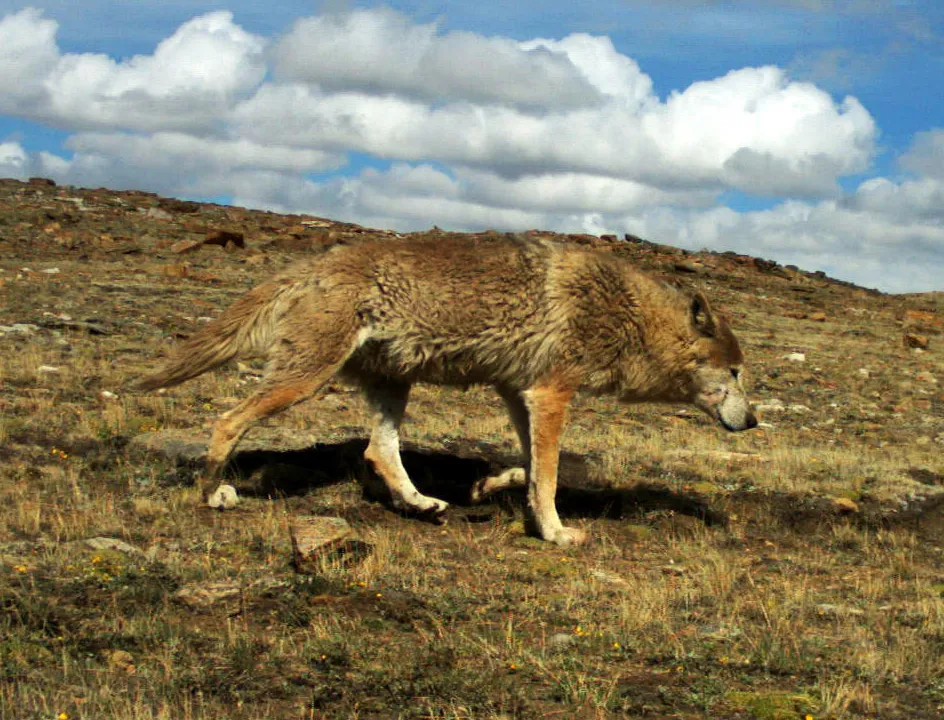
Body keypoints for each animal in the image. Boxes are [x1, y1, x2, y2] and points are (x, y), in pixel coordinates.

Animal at [137, 234, 756, 546]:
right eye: (735, 374)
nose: (752, 422)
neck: (627, 316)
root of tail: (313, 264)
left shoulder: (518, 394)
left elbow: (530, 468)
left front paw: (490, 489)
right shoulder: (550, 395)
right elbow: (551, 477)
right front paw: (555, 533)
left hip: (393, 386)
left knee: (378, 451)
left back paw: (422, 504)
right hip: (303, 381)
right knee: (227, 421)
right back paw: (213, 493)